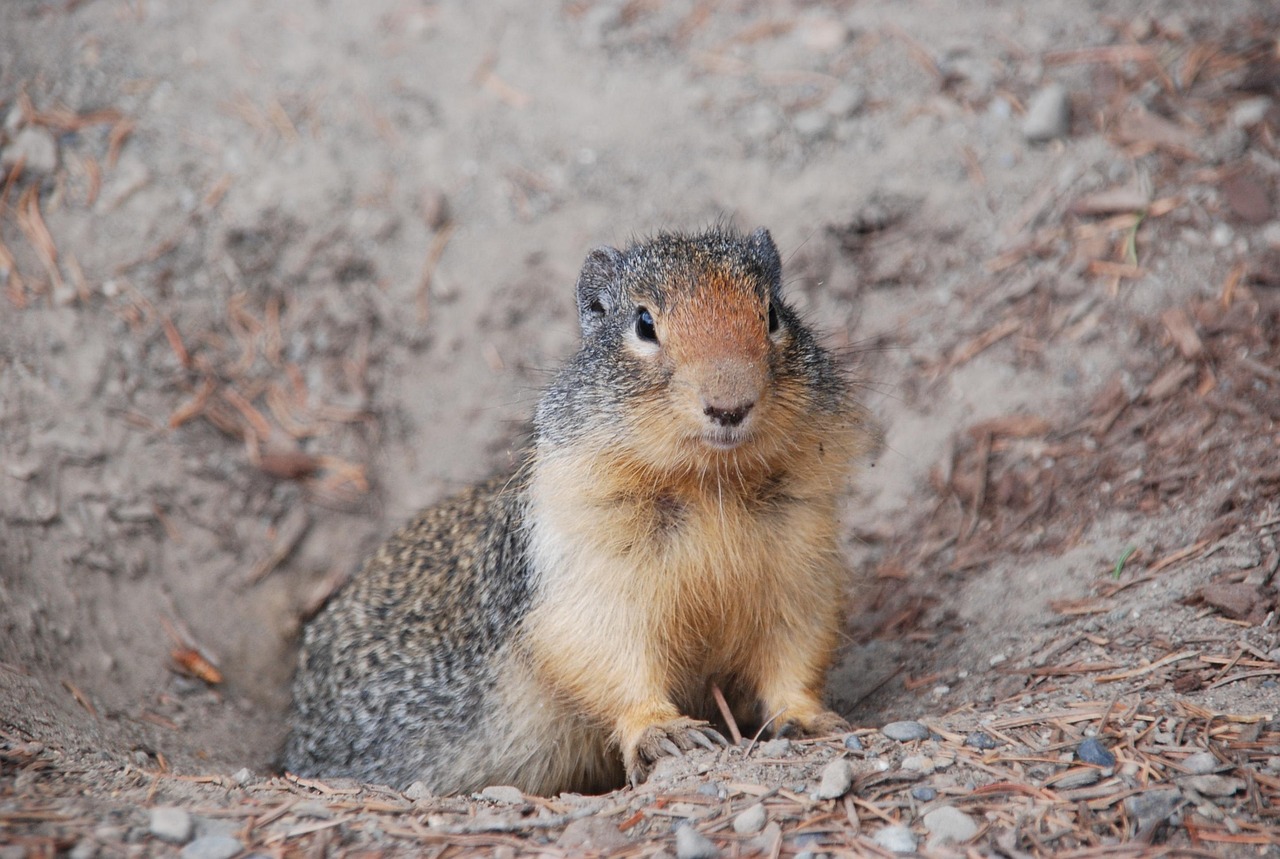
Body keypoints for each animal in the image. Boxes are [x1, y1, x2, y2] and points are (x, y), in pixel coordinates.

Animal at [283, 226, 880, 795]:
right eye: (643, 323)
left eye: (773, 313)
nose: (729, 404)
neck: (710, 486)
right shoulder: (587, 573)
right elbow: (611, 654)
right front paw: (664, 731)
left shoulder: (800, 562)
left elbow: (794, 648)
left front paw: (809, 719)